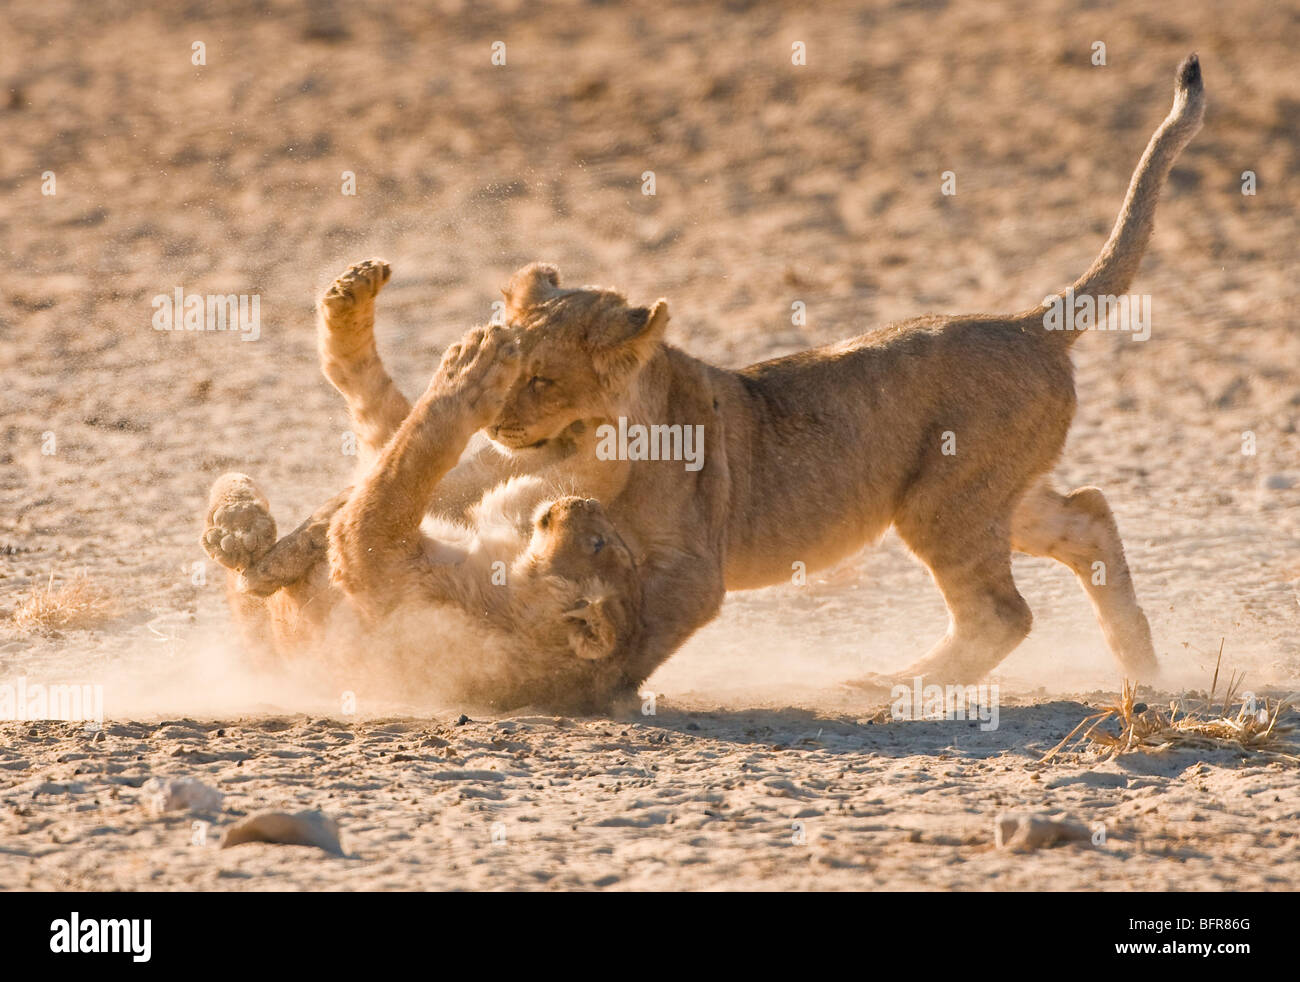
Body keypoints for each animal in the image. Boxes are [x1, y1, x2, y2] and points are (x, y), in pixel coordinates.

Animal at [201, 324, 642, 713]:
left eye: (599, 543)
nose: (586, 505)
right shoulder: (501, 509)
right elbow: (602, 466)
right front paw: (598, 426)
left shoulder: (378, 562)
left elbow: (411, 461)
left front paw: (471, 372)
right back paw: (239, 527)